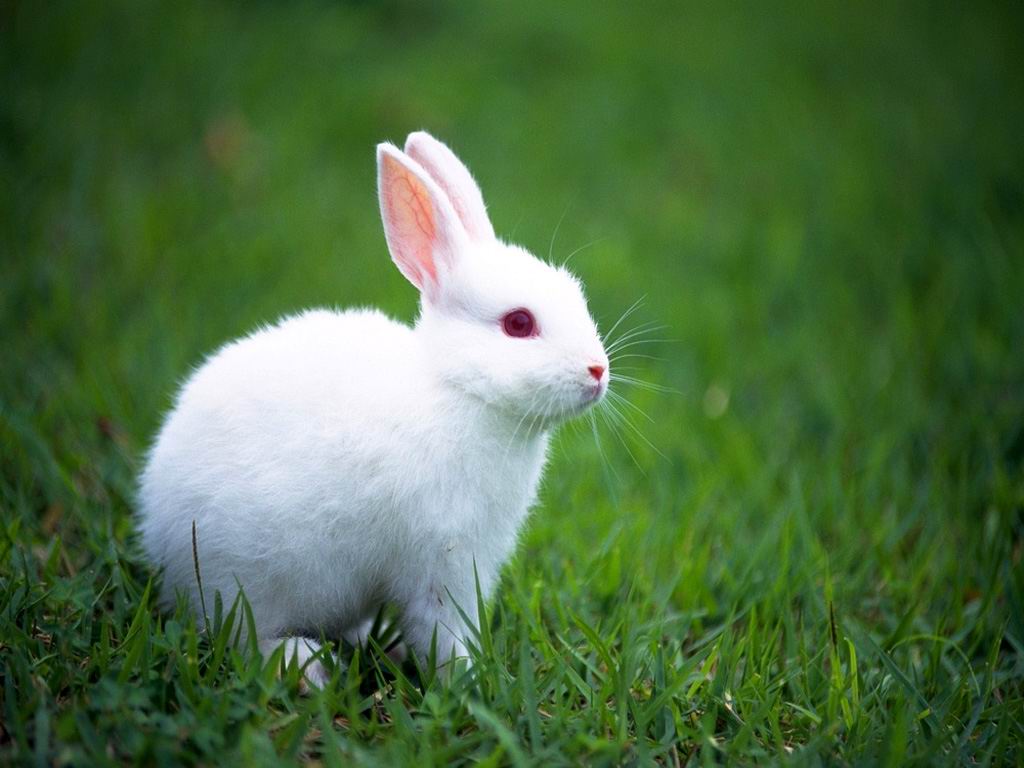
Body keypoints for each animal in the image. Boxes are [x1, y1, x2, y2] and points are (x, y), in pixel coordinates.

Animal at [137, 131, 610, 685]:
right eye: (519, 323)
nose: (598, 370)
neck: (458, 390)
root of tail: (158, 530)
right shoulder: (443, 562)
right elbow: (442, 630)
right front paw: (468, 679)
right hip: (245, 579)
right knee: (241, 636)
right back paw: (308, 667)